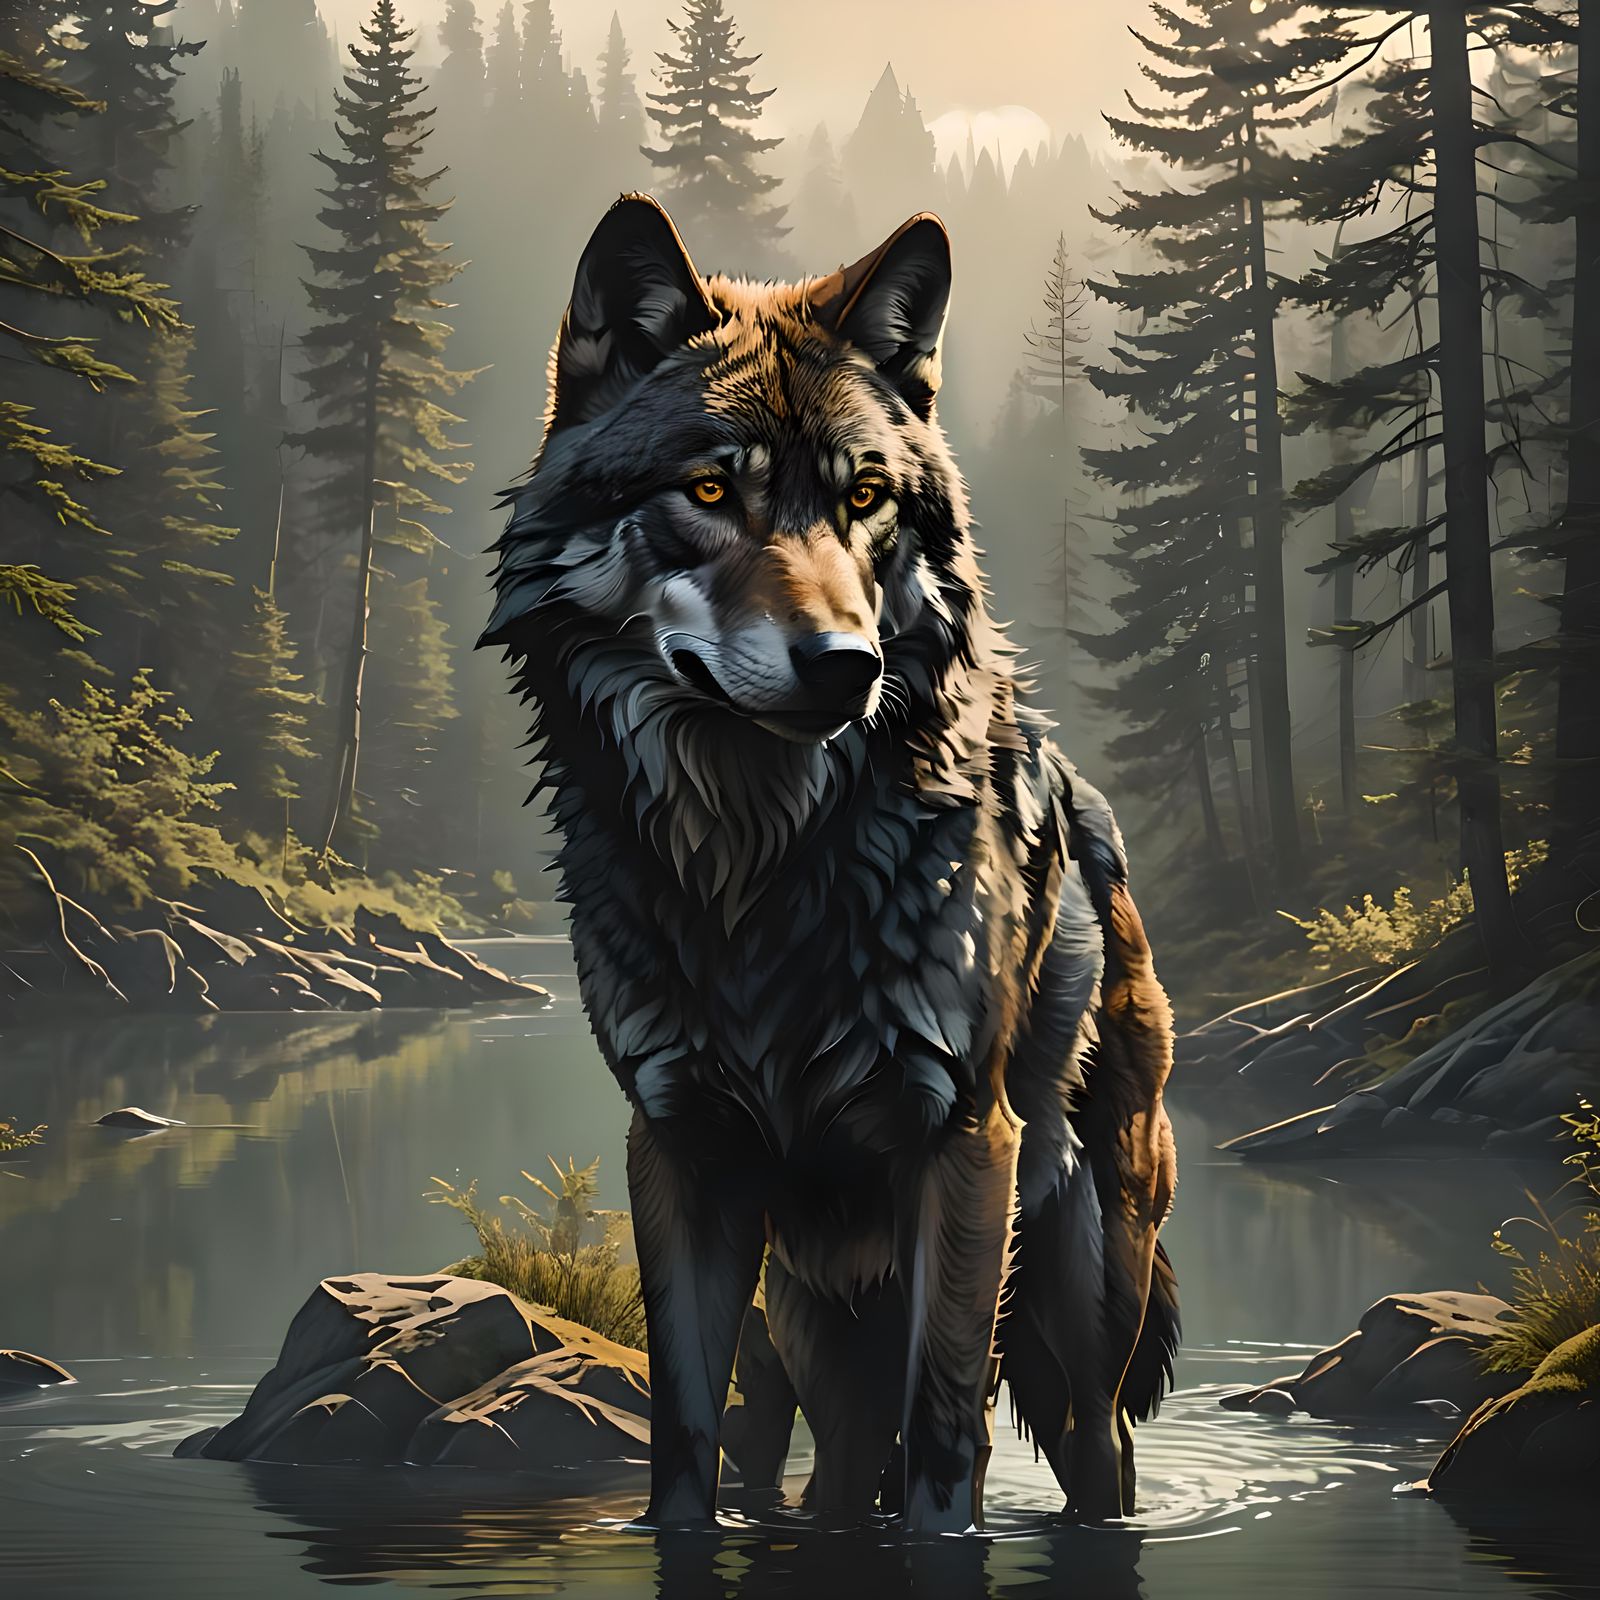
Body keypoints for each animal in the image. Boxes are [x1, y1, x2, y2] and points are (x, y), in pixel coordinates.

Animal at [481, 195, 1178, 1532]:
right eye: (710, 488)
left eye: (865, 498)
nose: (846, 664)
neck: (759, 866)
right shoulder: (682, 1151)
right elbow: (685, 1444)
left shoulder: (961, 1142)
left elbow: (947, 1444)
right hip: (804, 1324)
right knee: (831, 1464)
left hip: (1074, 1291)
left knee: (1092, 1451)